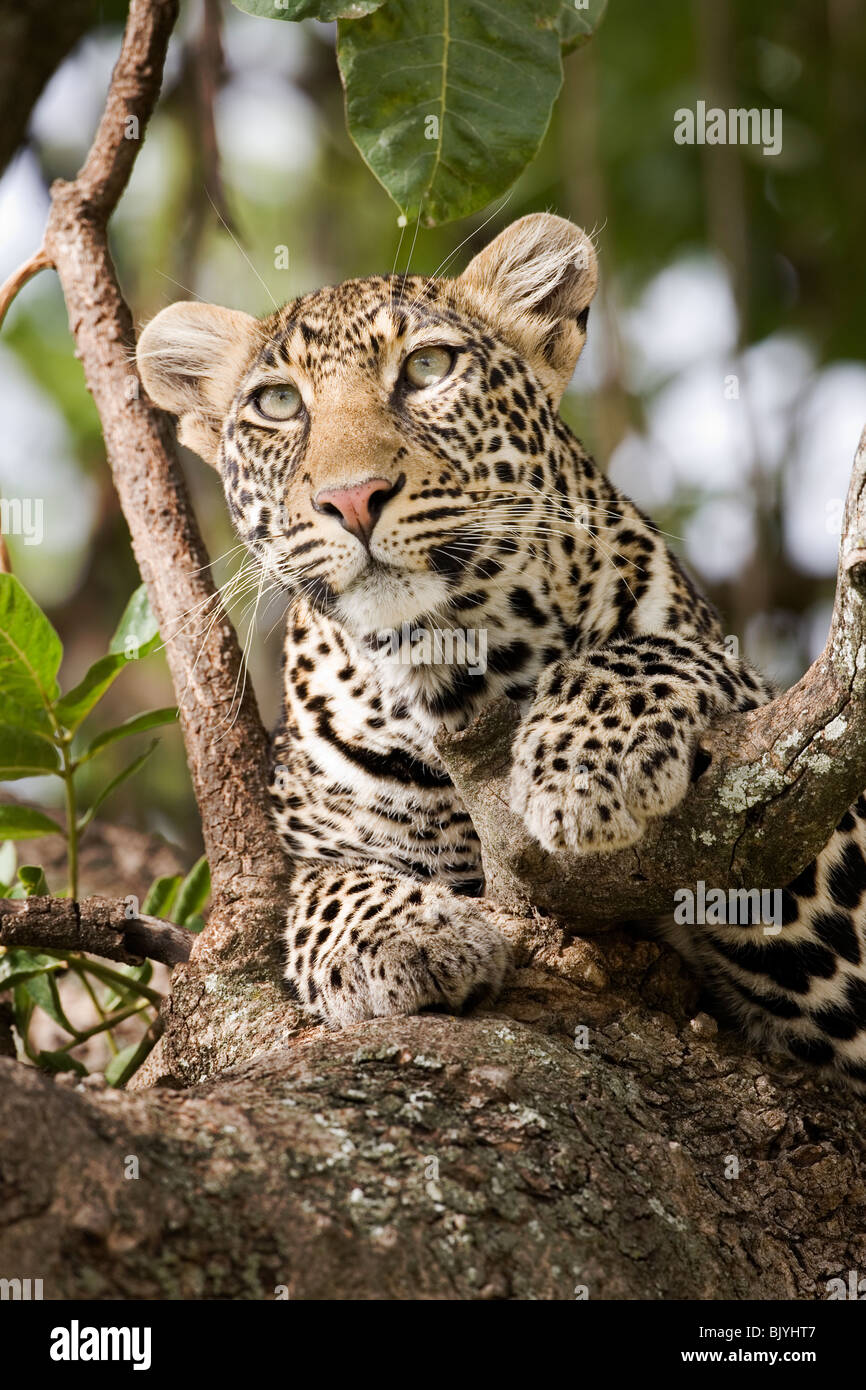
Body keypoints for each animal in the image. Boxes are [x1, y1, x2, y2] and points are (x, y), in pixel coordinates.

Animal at [137, 212, 866, 1088]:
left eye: (427, 367)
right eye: (278, 404)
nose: (352, 497)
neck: (455, 673)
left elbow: (675, 662)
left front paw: (586, 763)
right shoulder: (323, 842)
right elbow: (317, 890)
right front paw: (402, 935)